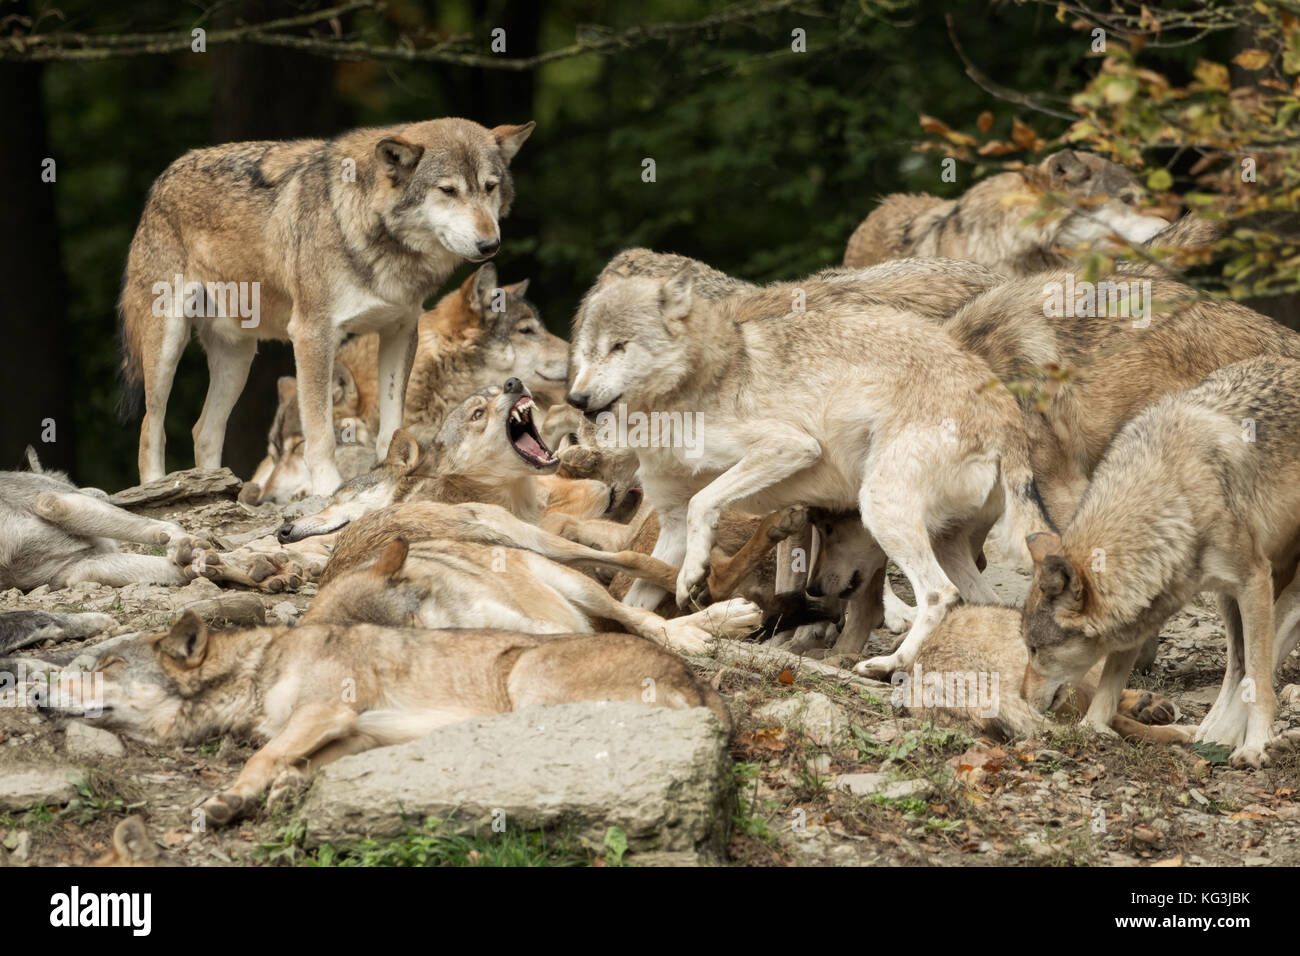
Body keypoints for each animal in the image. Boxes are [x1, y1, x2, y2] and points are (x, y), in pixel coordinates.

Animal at [45, 610, 731, 826]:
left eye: (107, 663)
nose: (37, 693)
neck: (259, 670)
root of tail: (700, 684)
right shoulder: (356, 732)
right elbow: (298, 762)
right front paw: (281, 791)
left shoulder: (330, 707)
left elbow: (263, 755)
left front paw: (228, 801)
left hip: (525, 676)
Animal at [119, 117, 534, 496]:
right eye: (447, 190)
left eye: (489, 187)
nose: (490, 244)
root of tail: (163, 178)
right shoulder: (312, 335)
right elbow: (321, 432)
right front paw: (328, 487)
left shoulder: (399, 331)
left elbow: (391, 423)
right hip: (166, 348)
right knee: (149, 429)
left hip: (237, 359)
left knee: (203, 430)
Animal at [567, 264, 1055, 677]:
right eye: (588, 352)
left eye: (619, 346)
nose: (576, 398)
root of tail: (1007, 417)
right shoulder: (668, 526)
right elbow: (638, 595)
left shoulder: (791, 446)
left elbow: (703, 503)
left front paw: (695, 580)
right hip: (943, 542)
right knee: (986, 604)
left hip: (881, 510)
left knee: (939, 595)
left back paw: (886, 666)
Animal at [1020, 357, 1300, 768]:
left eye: (1035, 649)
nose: (1021, 699)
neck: (1173, 495)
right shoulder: (1146, 609)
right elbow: (1110, 680)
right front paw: (1092, 727)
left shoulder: (1253, 581)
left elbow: (1260, 680)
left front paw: (1257, 745)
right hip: (1227, 600)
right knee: (1235, 665)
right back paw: (1213, 734)